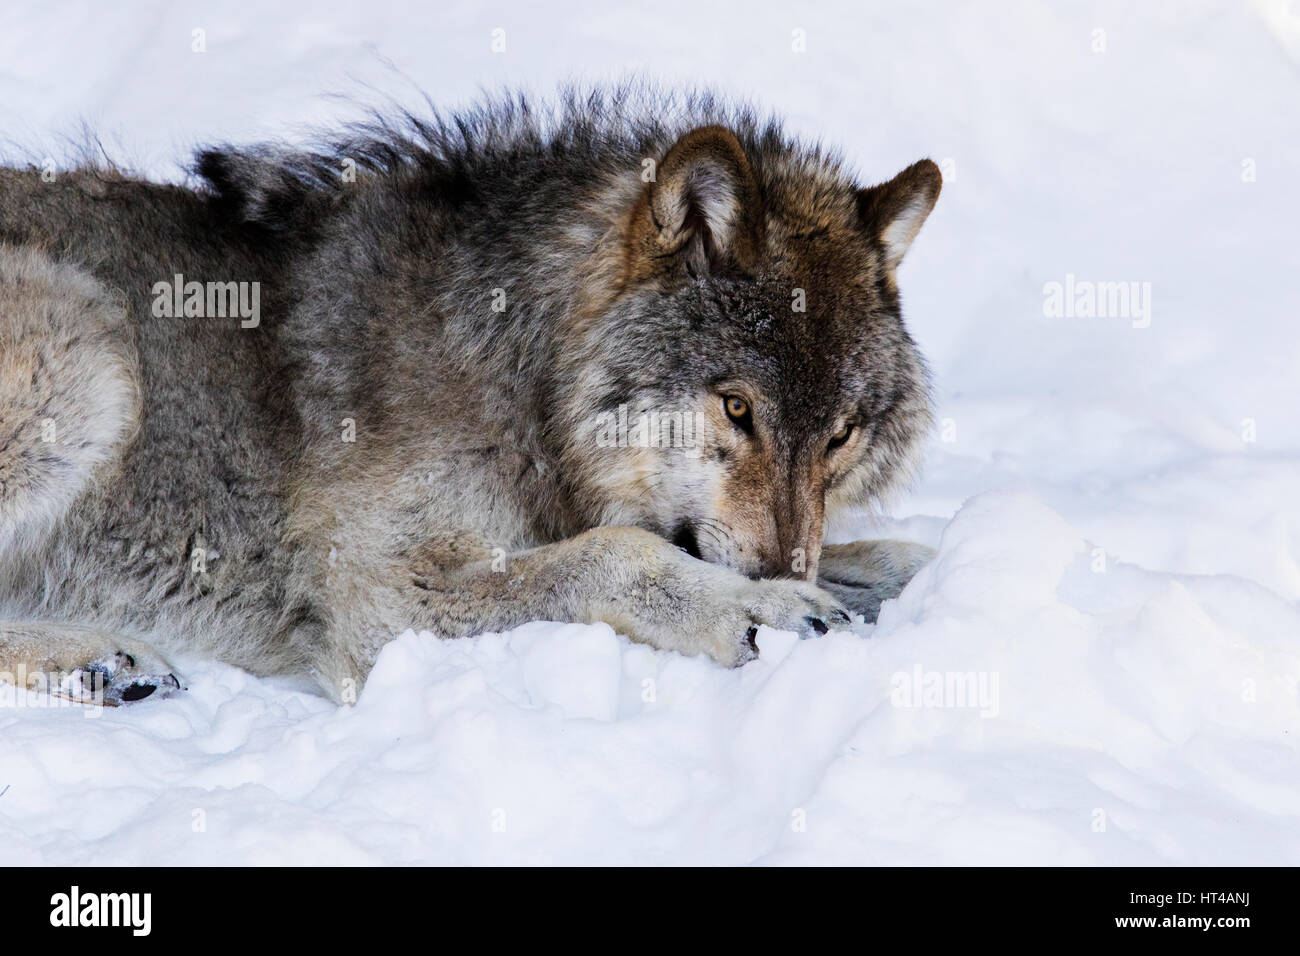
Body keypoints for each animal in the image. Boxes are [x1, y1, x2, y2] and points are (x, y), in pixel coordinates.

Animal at [0, 87, 940, 704]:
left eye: (841, 435)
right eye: (737, 409)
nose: (782, 571)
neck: (518, 375)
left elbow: (880, 555)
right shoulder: (385, 595)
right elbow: (618, 552)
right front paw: (764, 609)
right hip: (87, 351)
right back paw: (98, 656)